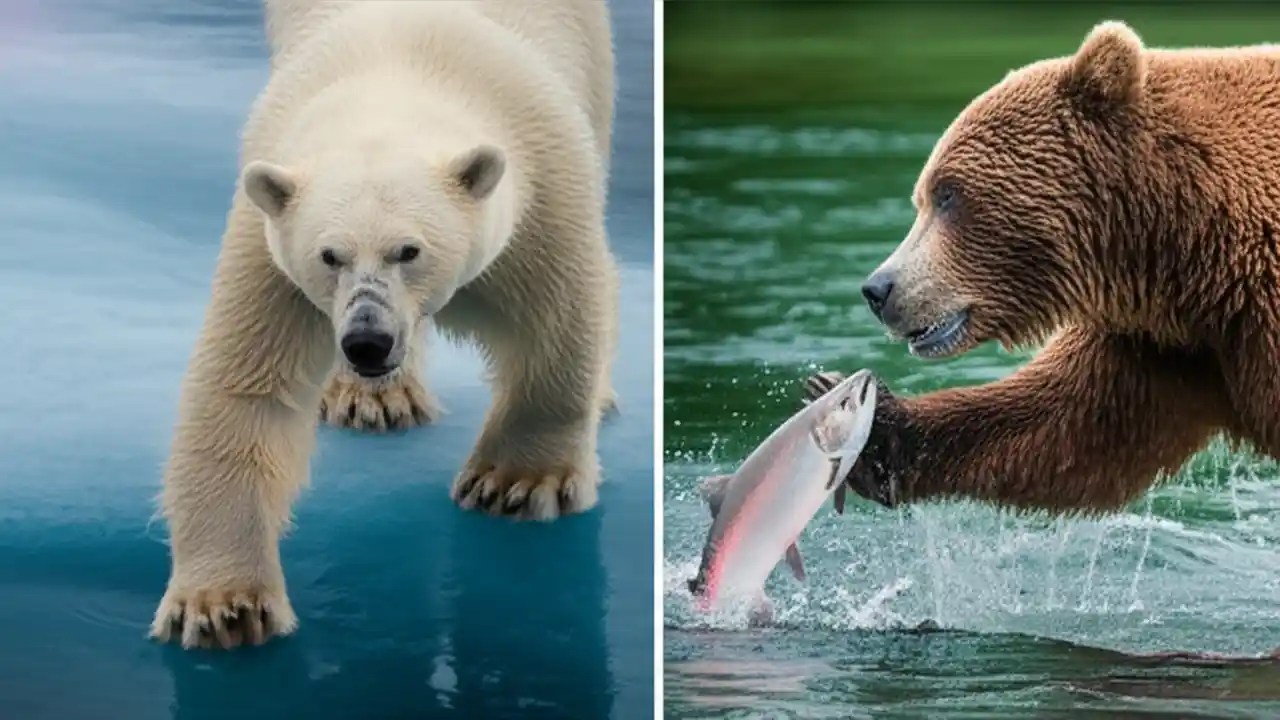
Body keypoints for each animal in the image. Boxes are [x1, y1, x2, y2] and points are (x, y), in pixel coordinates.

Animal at [151, 0, 618, 649]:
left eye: (409, 250)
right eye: (329, 256)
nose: (367, 342)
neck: (398, 69)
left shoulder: (540, 183)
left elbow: (553, 321)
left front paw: (517, 483)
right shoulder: (271, 243)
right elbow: (246, 387)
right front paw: (223, 606)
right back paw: (373, 398)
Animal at [807, 21, 1280, 515]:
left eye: (947, 194)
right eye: (925, 196)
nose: (878, 289)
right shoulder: (1168, 342)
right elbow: (1068, 427)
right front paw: (856, 414)